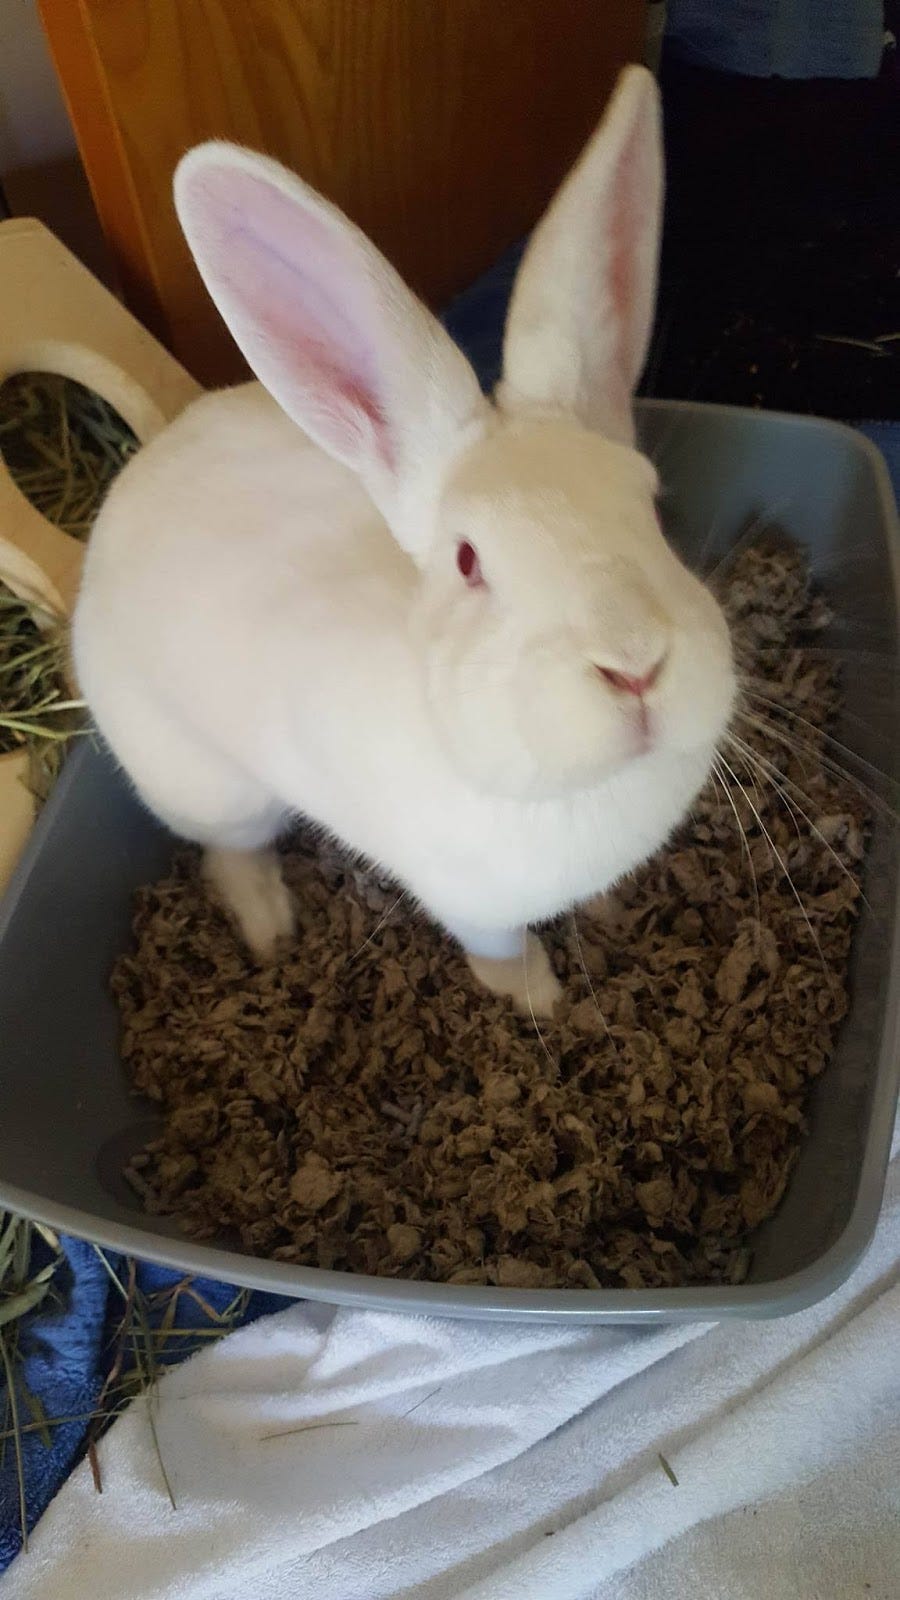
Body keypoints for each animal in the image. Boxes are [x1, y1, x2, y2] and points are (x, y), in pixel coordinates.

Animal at [72, 65, 734, 1017]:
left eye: (649, 506)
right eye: (468, 561)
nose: (636, 666)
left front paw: (609, 918)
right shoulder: (471, 906)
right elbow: (503, 956)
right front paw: (542, 1005)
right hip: (209, 785)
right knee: (228, 851)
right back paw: (269, 929)